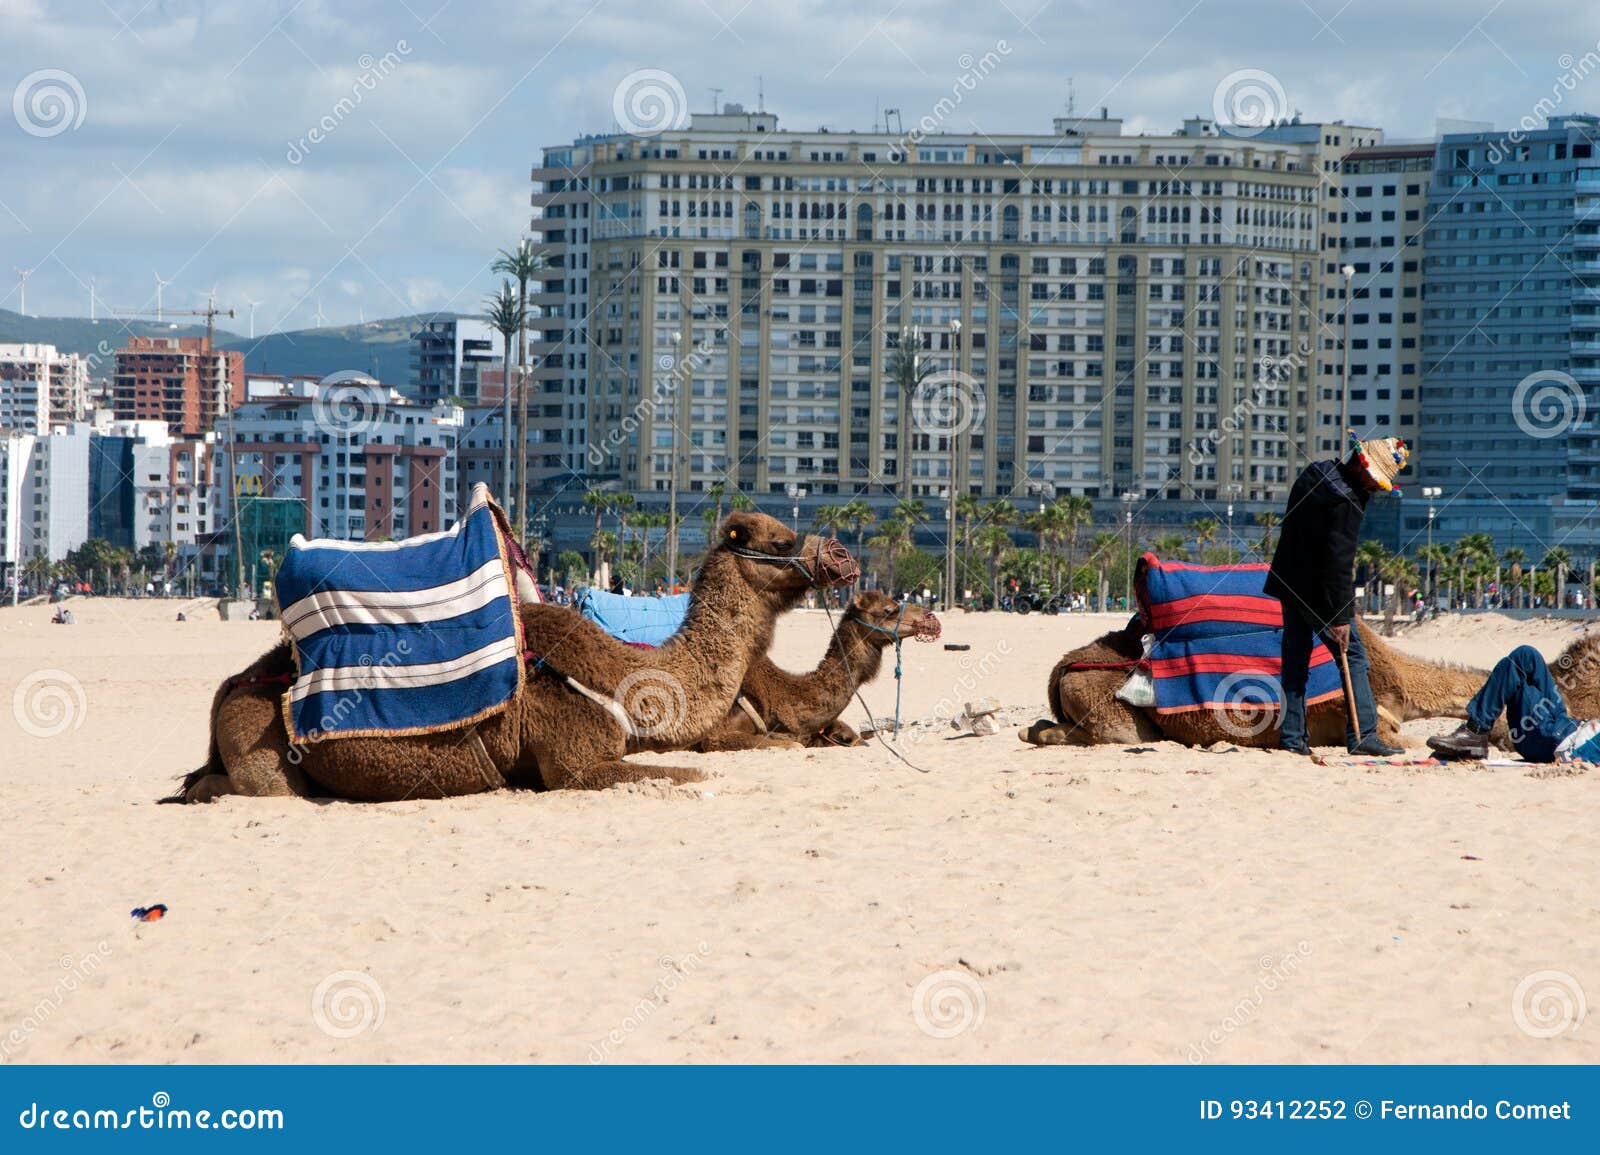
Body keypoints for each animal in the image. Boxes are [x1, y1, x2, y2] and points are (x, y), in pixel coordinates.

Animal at [171, 513, 857, 802]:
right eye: (782, 541)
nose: (845, 557)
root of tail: (231, 686)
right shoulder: (575, 759)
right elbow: (686, 774)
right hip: (259, 738)